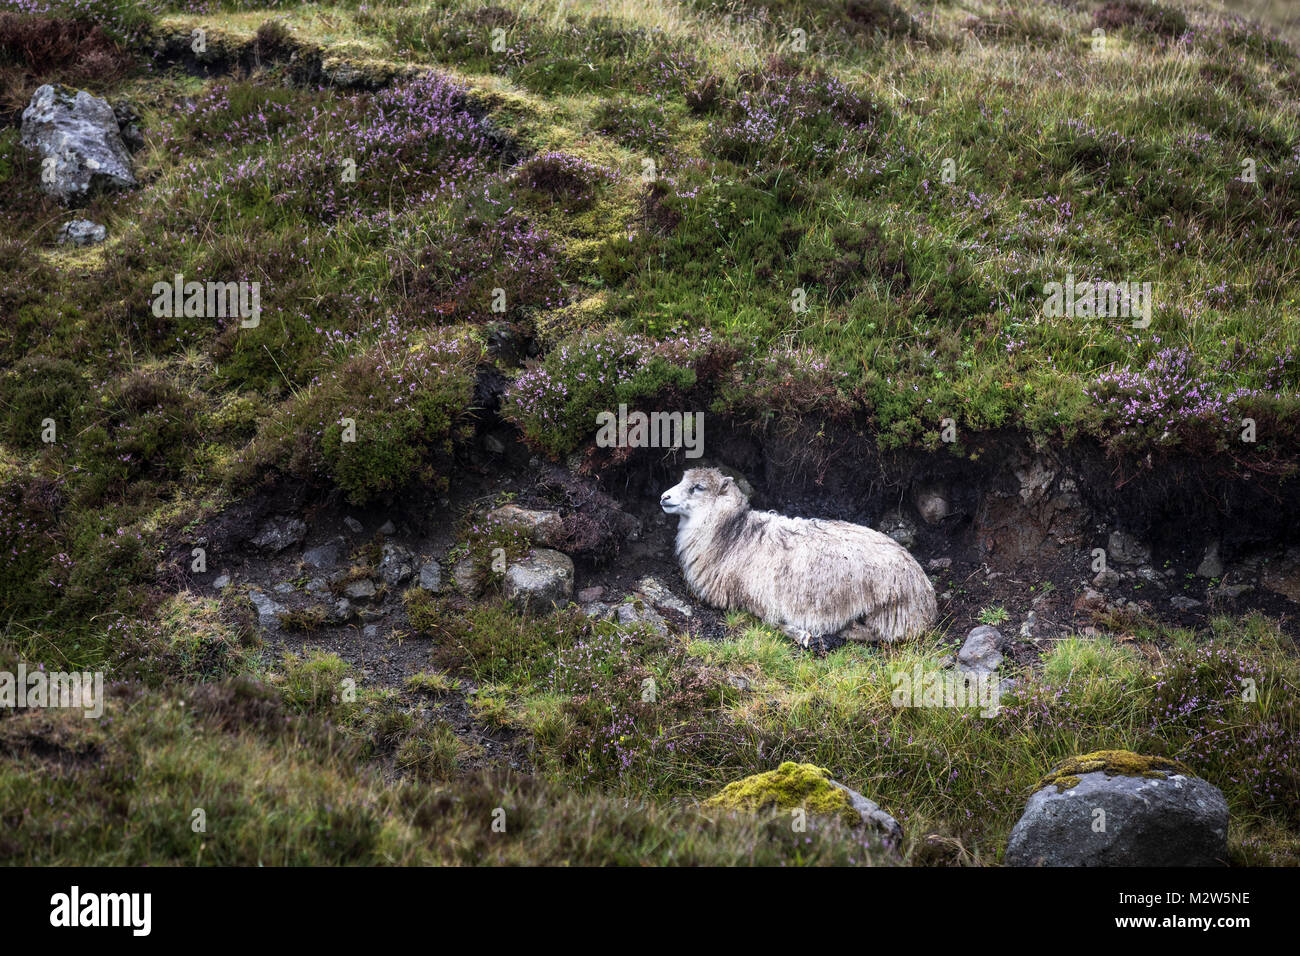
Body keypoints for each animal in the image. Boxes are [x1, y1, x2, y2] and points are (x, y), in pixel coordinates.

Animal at [660, 467, 937, 649]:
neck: (734, 537)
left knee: (884, 635)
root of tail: (926, 596)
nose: (664, 497)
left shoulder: (758, 600)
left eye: (698, 487)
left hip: (890, 612)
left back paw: (847, 630)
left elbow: (772, 622)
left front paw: (802, 635)